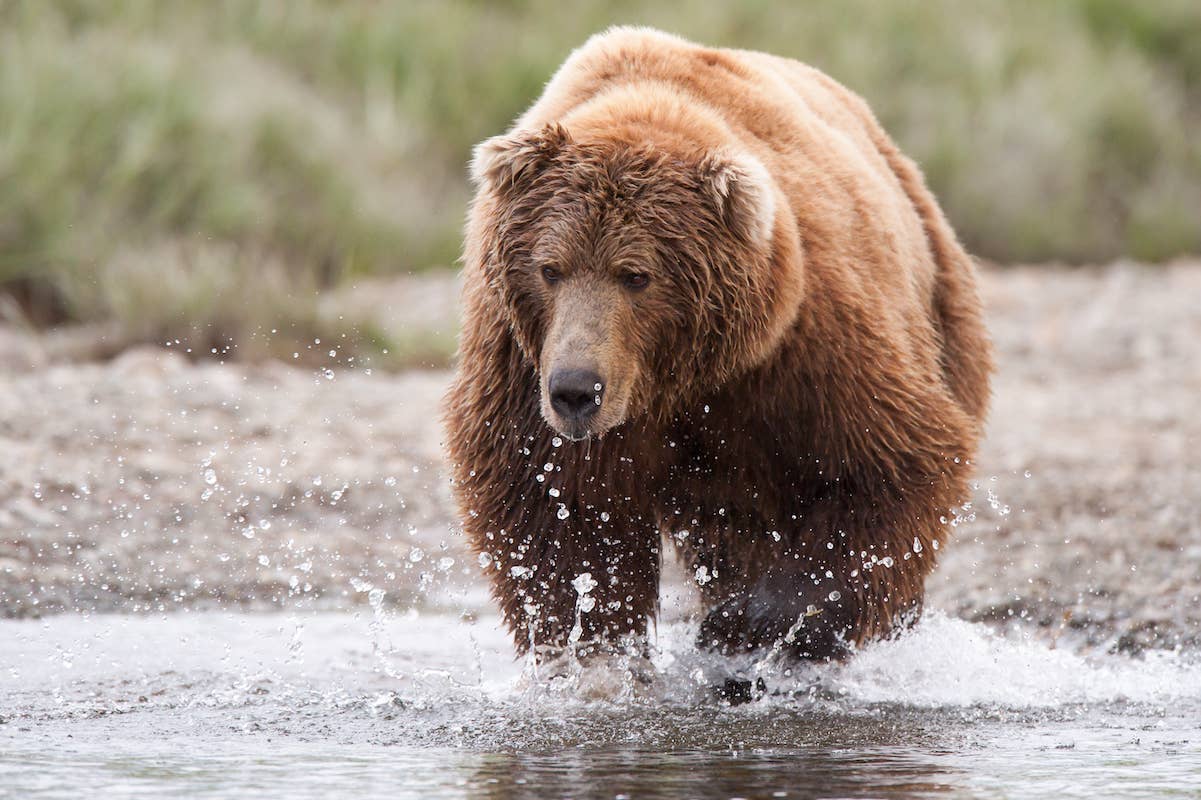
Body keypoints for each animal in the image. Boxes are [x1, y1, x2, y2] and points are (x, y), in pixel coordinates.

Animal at [444, 27, 992, 664]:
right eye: (549, 268)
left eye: (637, 275)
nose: (577, 391)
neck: (677, 384)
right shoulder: (522, 367)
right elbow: (554, 518)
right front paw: (593, 644)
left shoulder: (810, 348)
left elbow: (884, 471)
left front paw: (755, 624)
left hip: (943, 310)